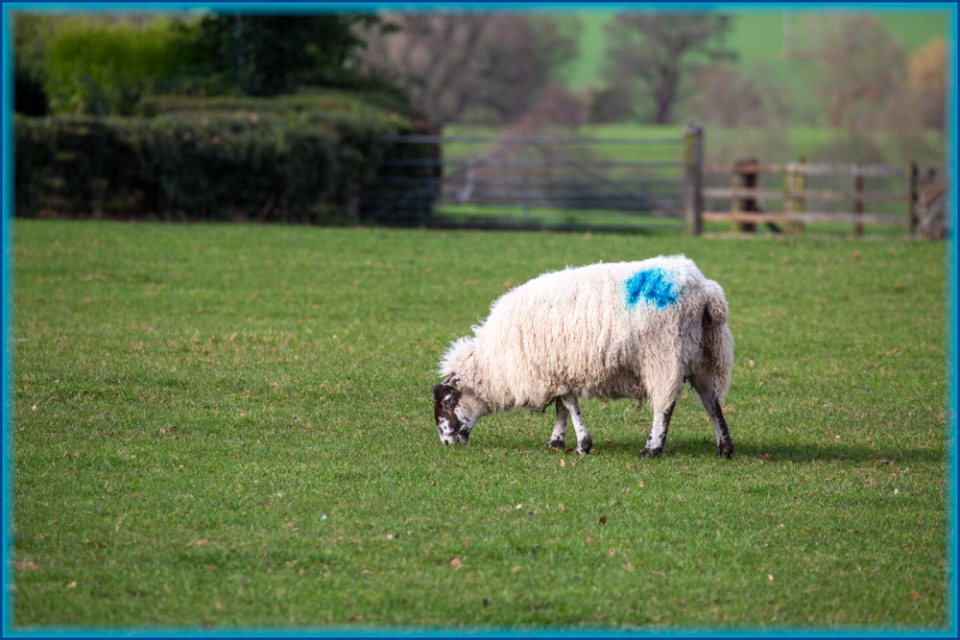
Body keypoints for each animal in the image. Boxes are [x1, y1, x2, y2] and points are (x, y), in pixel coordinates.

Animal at [432, 255, 734, 458]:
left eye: (447, 402)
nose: (446, 443)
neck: (494, 363)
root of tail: (705, 291)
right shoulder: (558, 369)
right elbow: (562, 407)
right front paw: (556, 442)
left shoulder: (551, 371)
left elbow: (569, 405)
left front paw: (582, 445)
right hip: (703, 356)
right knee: (711, 402)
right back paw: (725, 448)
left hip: (663, 355)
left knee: (664, 405)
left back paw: (652, 448)